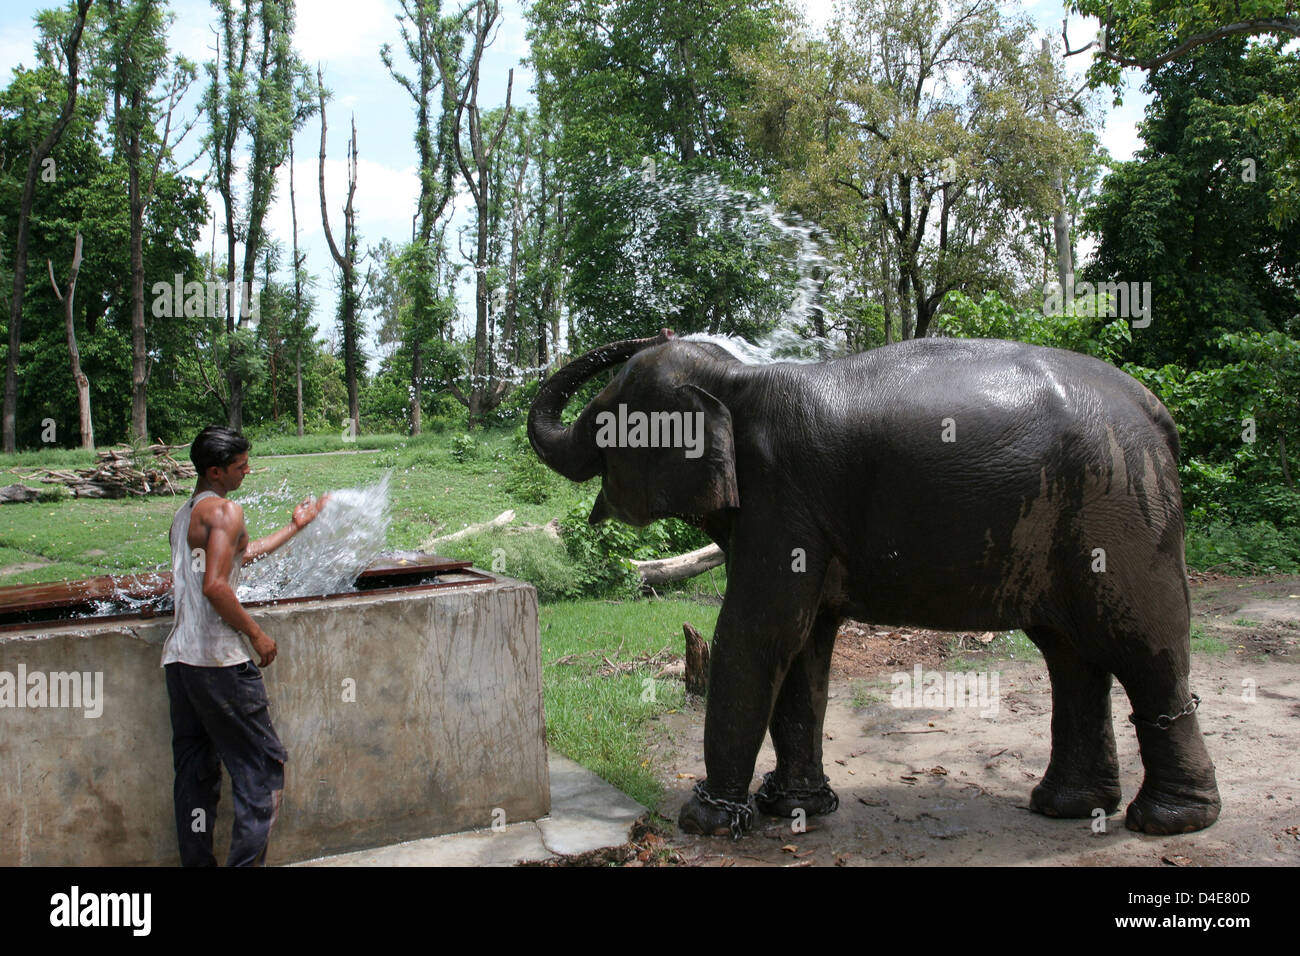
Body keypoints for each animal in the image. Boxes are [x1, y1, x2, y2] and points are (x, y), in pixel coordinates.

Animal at [527, 329, 1221, 838]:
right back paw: (1069, 808)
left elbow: (759, 634)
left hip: (1121, 513)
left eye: (605, 420)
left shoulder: (784, 502)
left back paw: (1168, 822)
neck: (738, 380)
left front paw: (706, 821)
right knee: (1071, 656)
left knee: (1144, 650)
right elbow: (804, 644)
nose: (661, 327)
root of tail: (1156, 411)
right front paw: (796, 808)